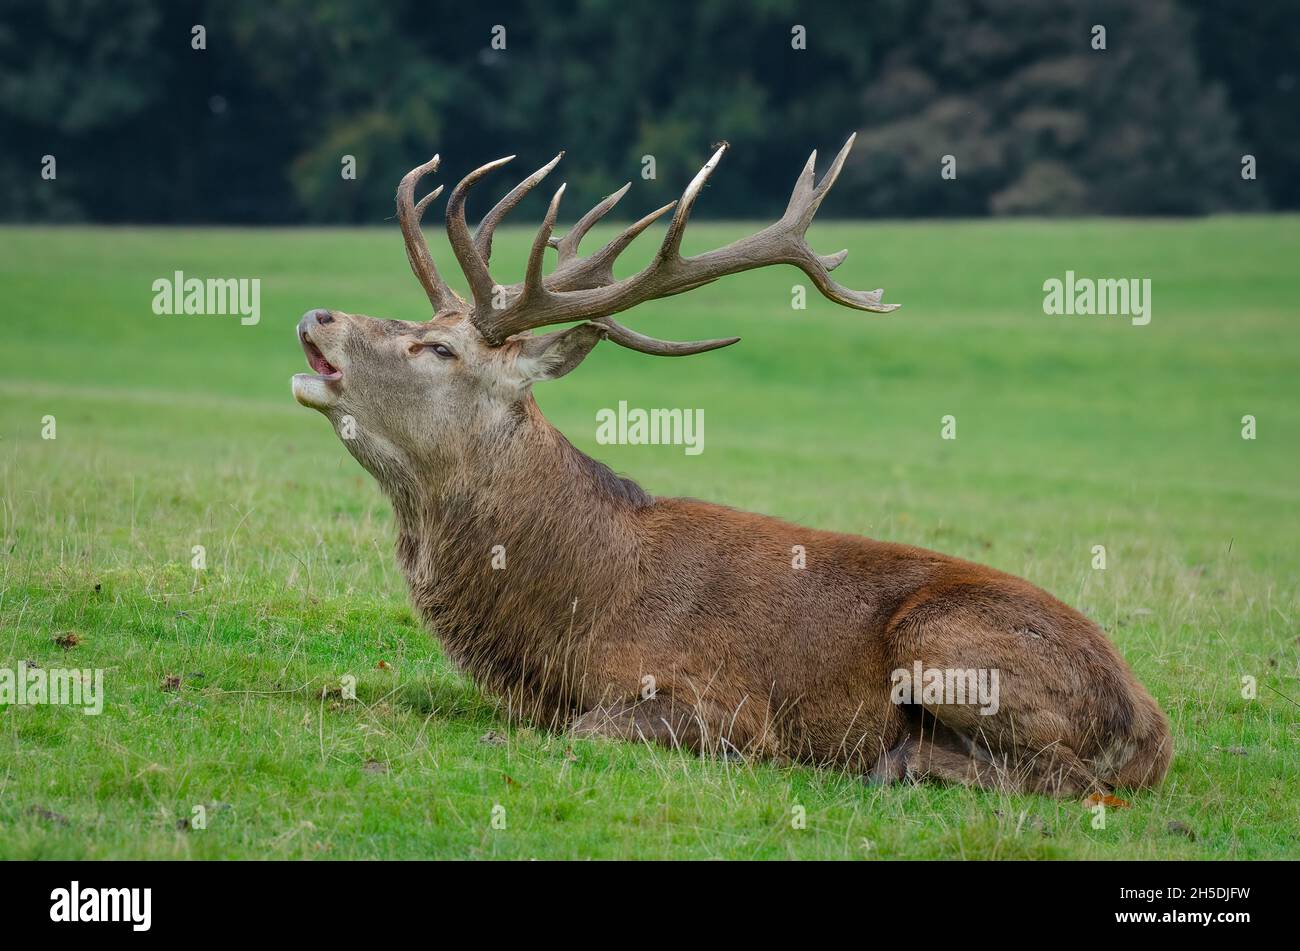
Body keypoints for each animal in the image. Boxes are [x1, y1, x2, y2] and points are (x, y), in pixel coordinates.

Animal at [291, 136, 1171, 796]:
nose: (316, 314)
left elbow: (595, 727)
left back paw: (902, 761)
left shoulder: (721, 702)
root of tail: (1151, 725)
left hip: (946, 641)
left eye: (439, 347)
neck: (574, 612)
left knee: (1066, 778)